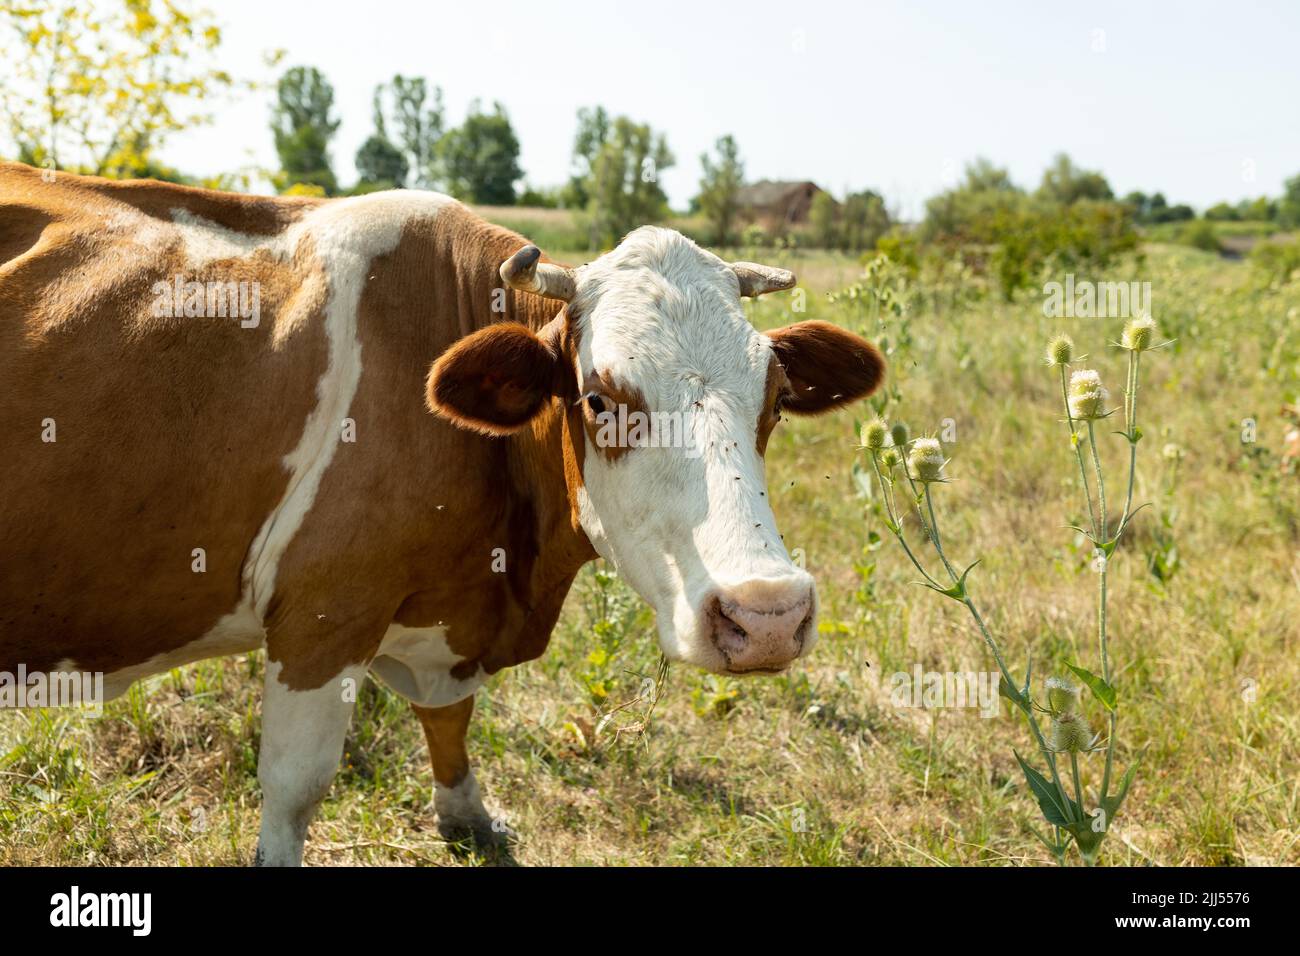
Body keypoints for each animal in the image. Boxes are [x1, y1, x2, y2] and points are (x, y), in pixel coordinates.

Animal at [0, 162, 883, 864]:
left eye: (775, 400)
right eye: (599, 399)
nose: (766, 615)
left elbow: (450, 721)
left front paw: (468, 816)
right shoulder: (323, 616)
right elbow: (294, 787)